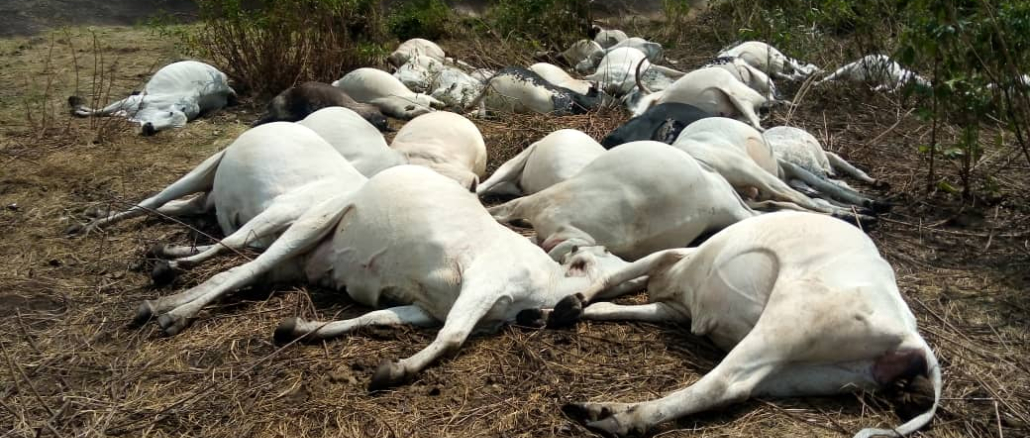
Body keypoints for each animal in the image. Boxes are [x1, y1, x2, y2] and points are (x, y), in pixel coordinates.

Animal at [66, 122, 368, 283]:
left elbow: (236, 243)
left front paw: (172, 259)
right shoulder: (285, 210)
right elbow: (232, 242)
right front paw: (176, 264)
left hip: (213, 196)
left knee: (184, 207)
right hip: (207, 168)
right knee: (156, 200)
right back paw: (92, 223)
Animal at [68, 60, 237, 136]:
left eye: (175, 127)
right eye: (170, 113)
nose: (149, 128)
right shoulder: (129, 101)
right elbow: (99, 111)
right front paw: (78, 108)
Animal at [131, 165, 632, 393]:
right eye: (589, 263)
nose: (574, 305)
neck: (543, 282)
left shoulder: (429, 307)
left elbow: (378, 318)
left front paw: (301, 327)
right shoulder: (483, 280)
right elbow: (453, 337)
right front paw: (395, 370)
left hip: (295, 258)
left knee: (239, 264)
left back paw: (164, 286)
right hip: (311, 222)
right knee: (242, 263)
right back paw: (171, 309)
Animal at [526, 211, 941, 438]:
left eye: (576, 262)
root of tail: (912, 336)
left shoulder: (672, 255)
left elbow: (614, 279)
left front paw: (568, 304)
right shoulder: (674, 308)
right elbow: (614, 304)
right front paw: (548, 313)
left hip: (788, 321)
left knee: (720, 384)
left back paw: (612, 414)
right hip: (802, 372)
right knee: (738, 389)